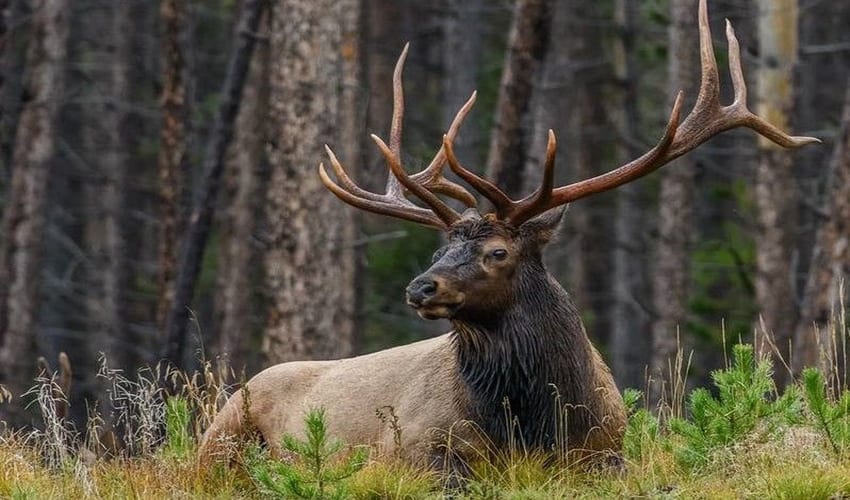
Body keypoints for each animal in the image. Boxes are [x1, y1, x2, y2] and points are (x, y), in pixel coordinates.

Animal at [200, 0, 818, 471]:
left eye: (497, 252)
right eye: (440, 248)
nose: (420, 287)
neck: (536, 423)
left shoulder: (609, 452)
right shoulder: (412, 452)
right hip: (219, 438)